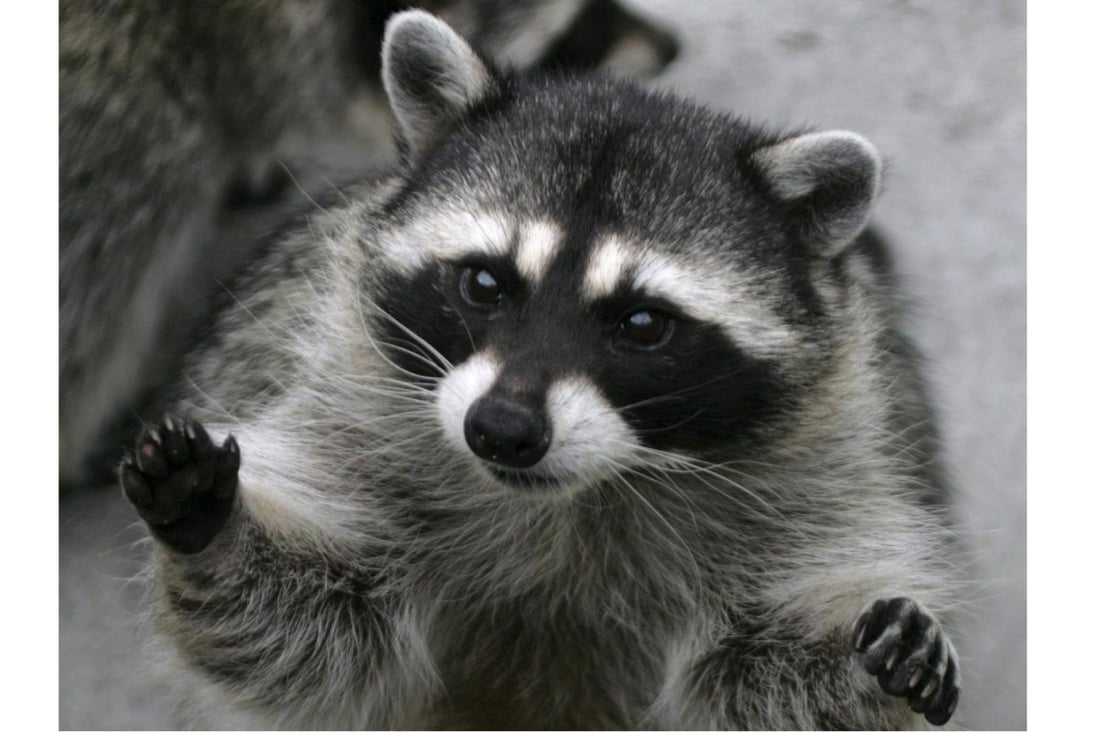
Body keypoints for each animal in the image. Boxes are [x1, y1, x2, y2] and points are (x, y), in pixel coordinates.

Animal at [119, 11, 961, 729]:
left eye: (643, 323)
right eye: (485, 282)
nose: (502, 429)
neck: (564, 500)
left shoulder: (813, 485)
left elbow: (760, 676)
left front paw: (862, 665)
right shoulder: (340, 410)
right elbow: (296, 639)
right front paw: (217, 529)